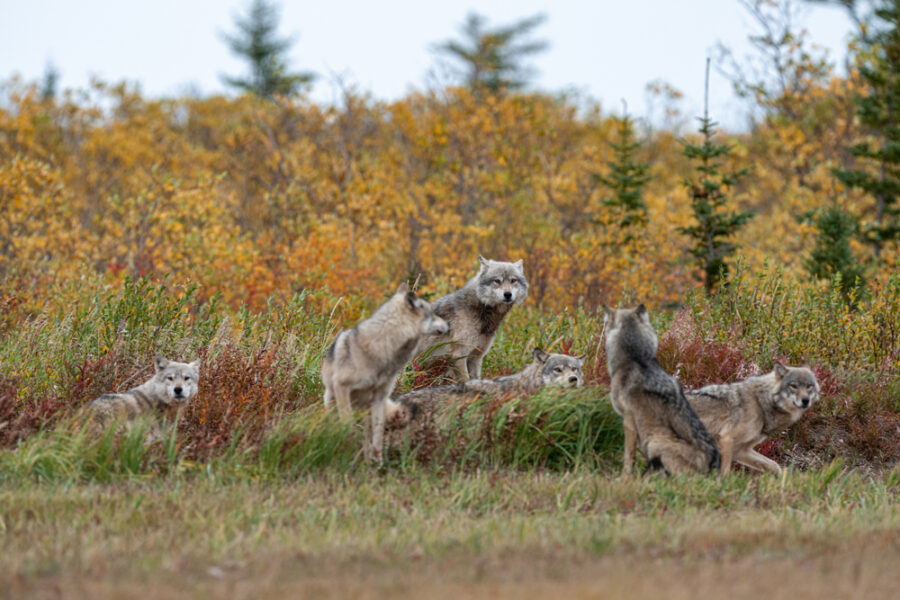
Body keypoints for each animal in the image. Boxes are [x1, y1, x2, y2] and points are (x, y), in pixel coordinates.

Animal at [321, 282, 449, 463]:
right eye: (432, 313)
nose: (449, 324)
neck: (383, 348)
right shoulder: (342, 387)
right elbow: (348, 423)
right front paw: (349, 447)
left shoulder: (380, 397)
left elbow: (378, 431)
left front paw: (377, 459)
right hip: (333, 401)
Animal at [604, 304, 720, 475]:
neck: (636, 359)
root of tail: (713, 466)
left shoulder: (628, 420)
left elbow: (628, 456)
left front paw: (624, 476)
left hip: (654, 441)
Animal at [685, 363, 820, 475]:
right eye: (793, 386)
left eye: (809, 386)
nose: (805, 400)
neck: (761, 402)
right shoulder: (726, 439)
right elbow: (725, 471)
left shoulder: (741, 450)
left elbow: (774, 465)